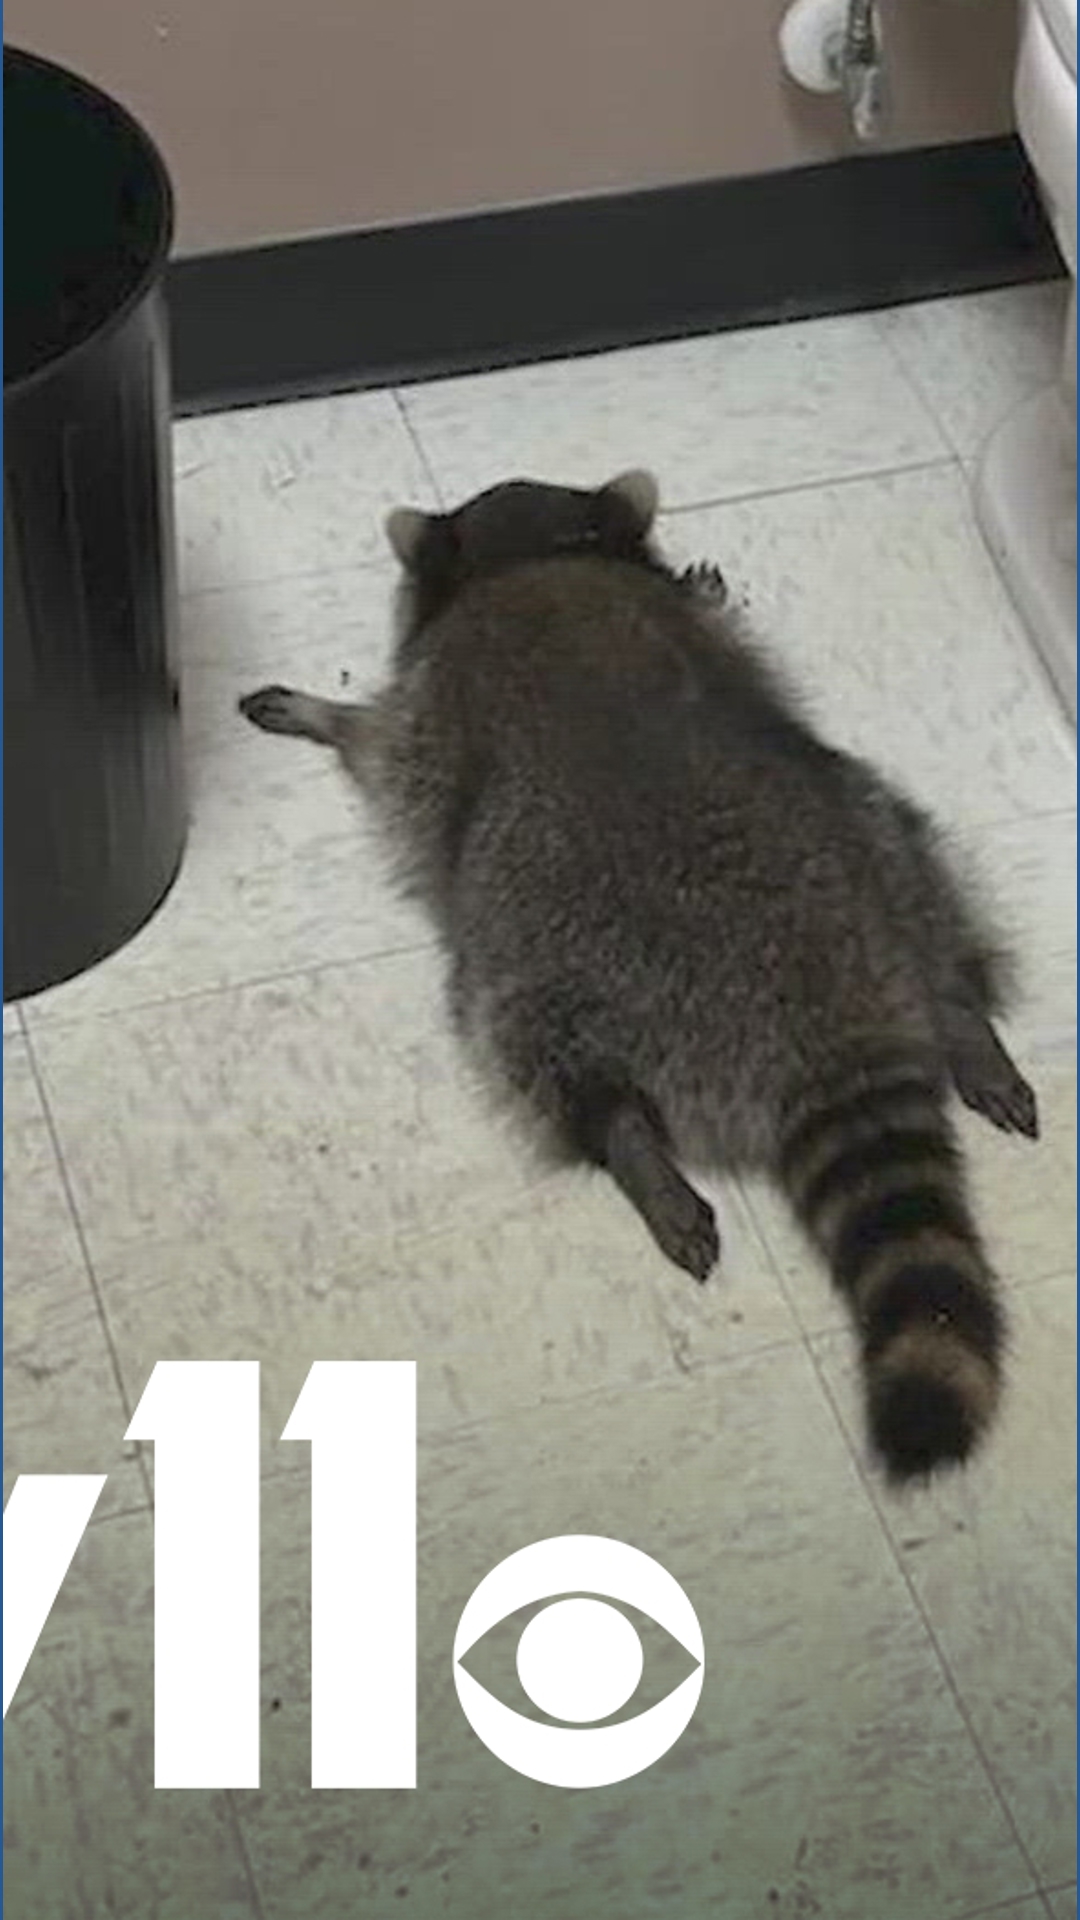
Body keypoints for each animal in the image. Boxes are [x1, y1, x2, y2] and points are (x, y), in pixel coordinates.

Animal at [240, 469, 1038, 1485]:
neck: (536, 554)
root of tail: (829, 1011)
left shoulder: (429, 711)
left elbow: (380, 743)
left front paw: (324, 714)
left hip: (547, 950)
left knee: (534, 1043)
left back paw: (629, 1143)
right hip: (875, 832)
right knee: (921, 881)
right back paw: (961, 1014)